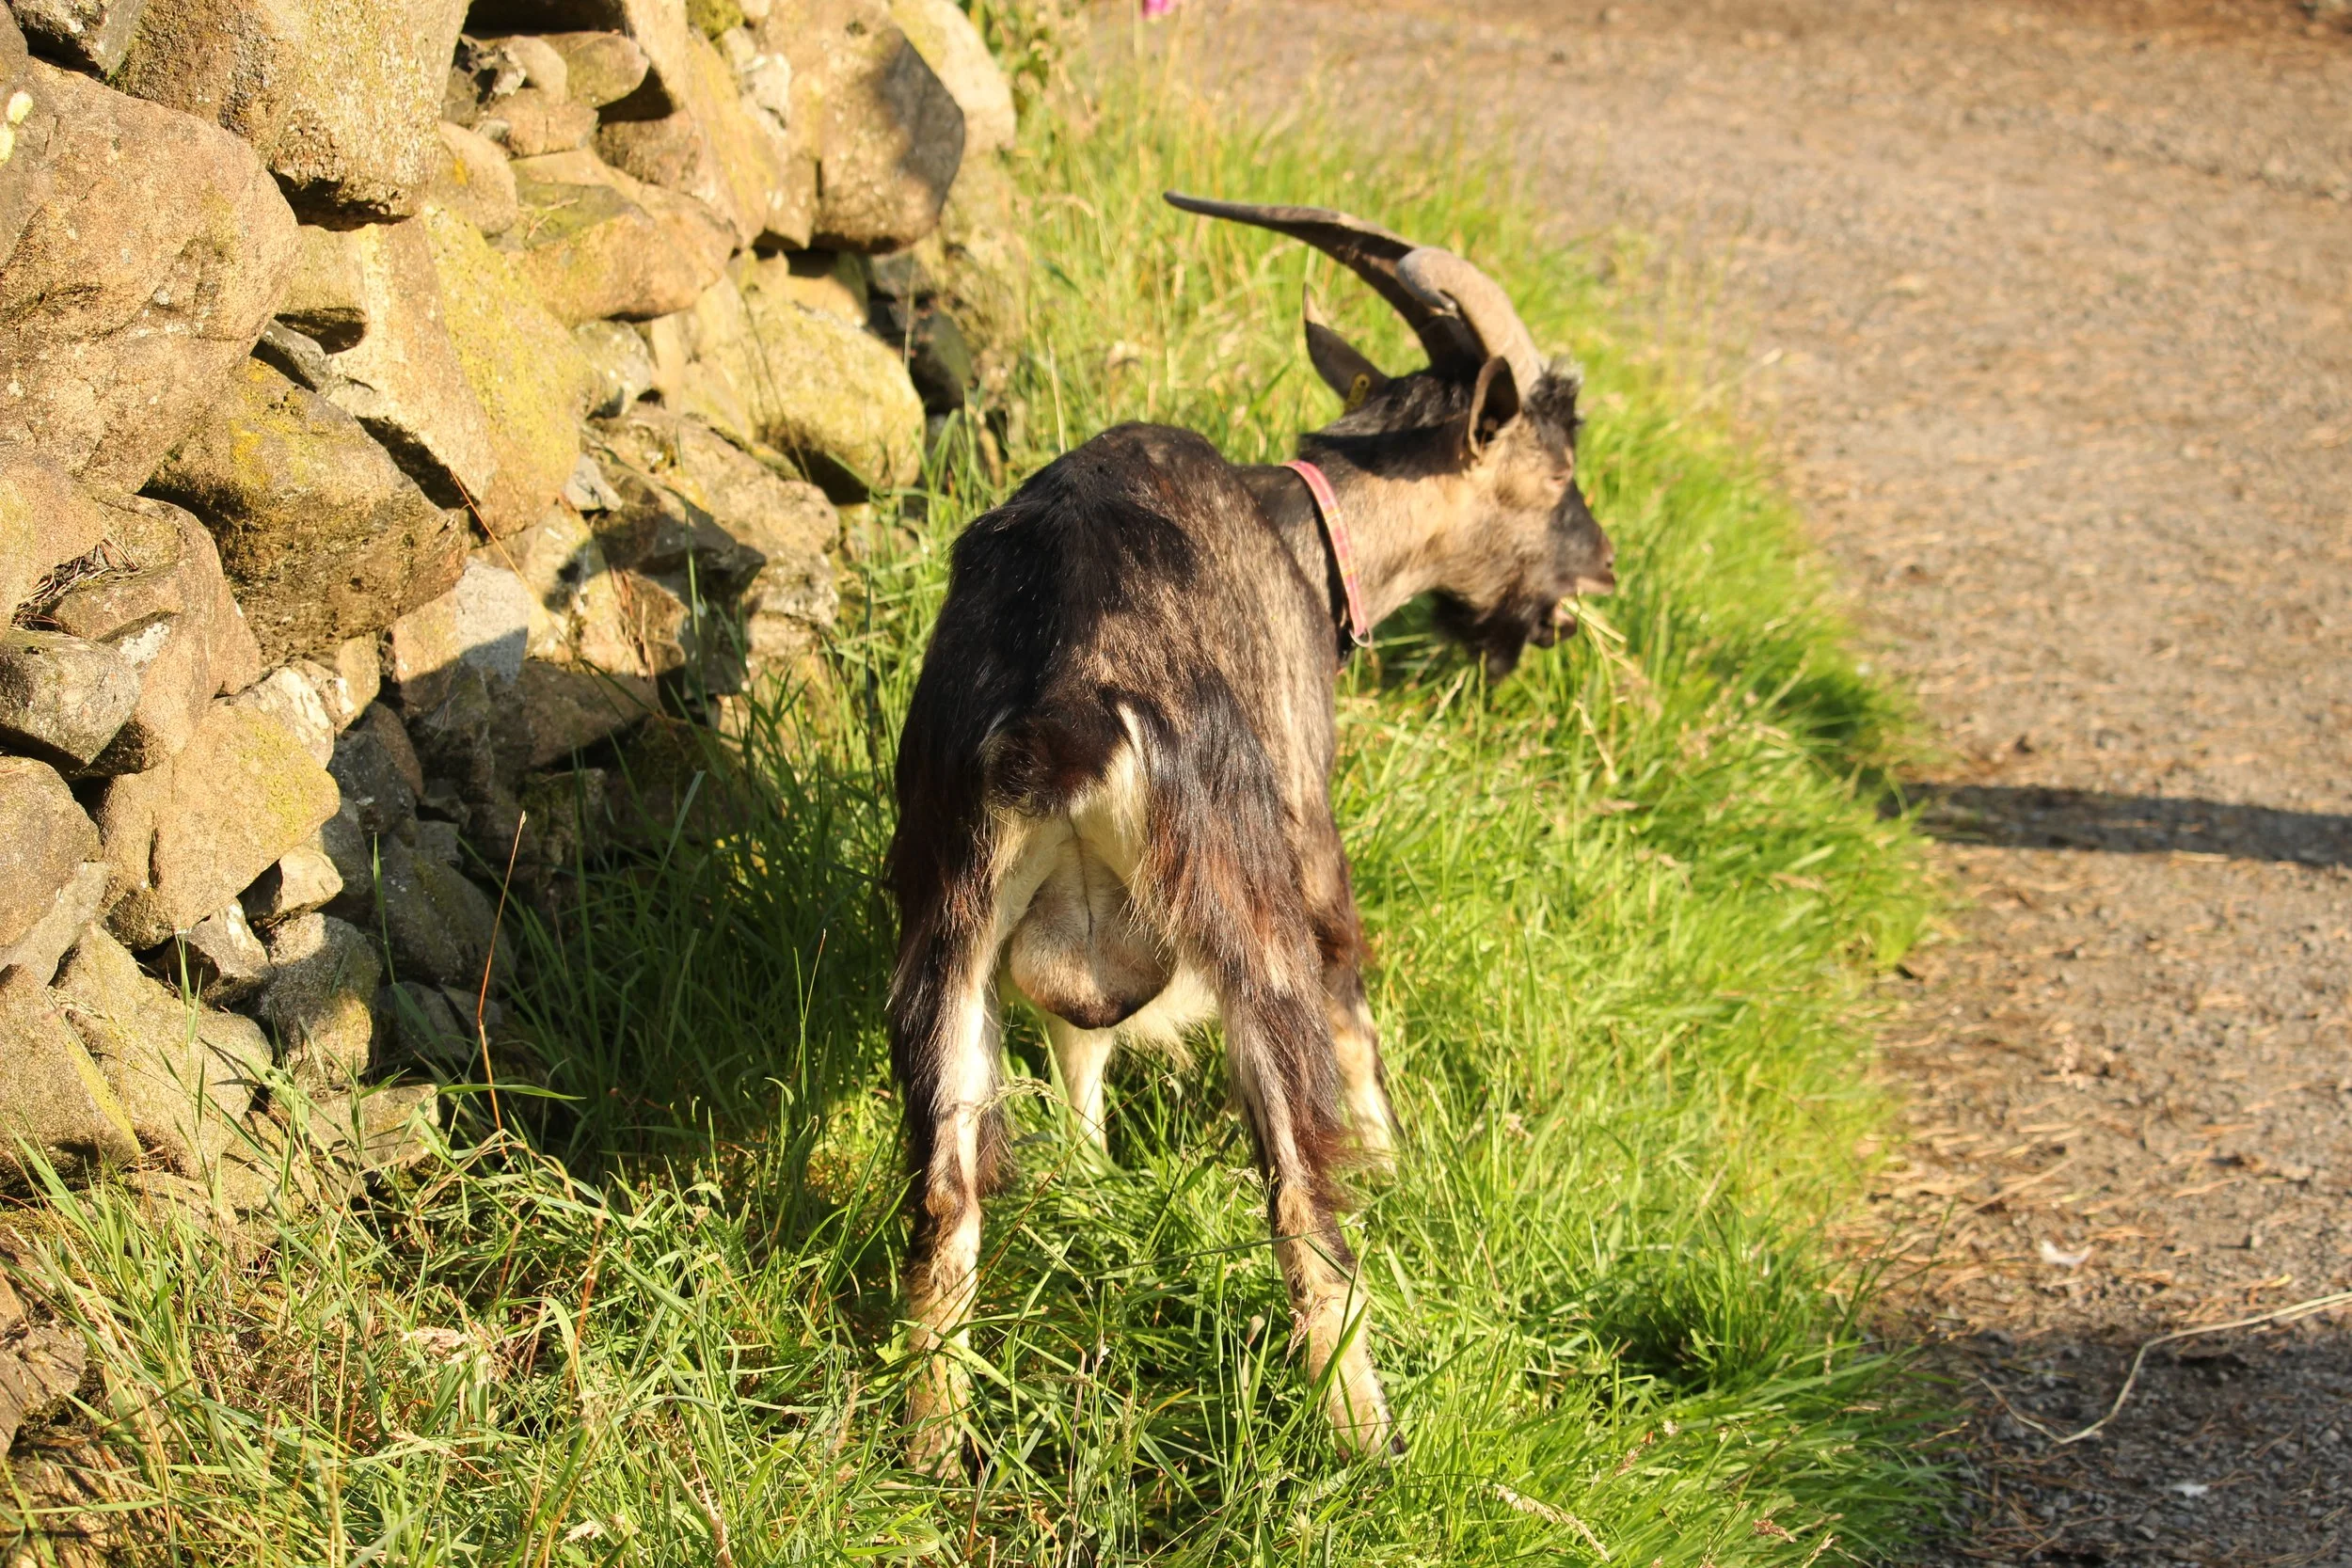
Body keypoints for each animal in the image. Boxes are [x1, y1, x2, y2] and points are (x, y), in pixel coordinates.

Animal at [886, 194, 1615, 1469]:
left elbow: (1079, 1040)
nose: (1601, 569)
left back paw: (932, 1444)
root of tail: (1065, 703)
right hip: (1244, 899)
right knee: (1293, 1191)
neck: (1302, 531)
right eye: (1556, 468)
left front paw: (1092, 1182)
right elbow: (1357, 1008)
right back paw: (1366, 1439)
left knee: (947, 1187)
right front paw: (1398, 1162)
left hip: (949, 908)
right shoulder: (1311, 830)